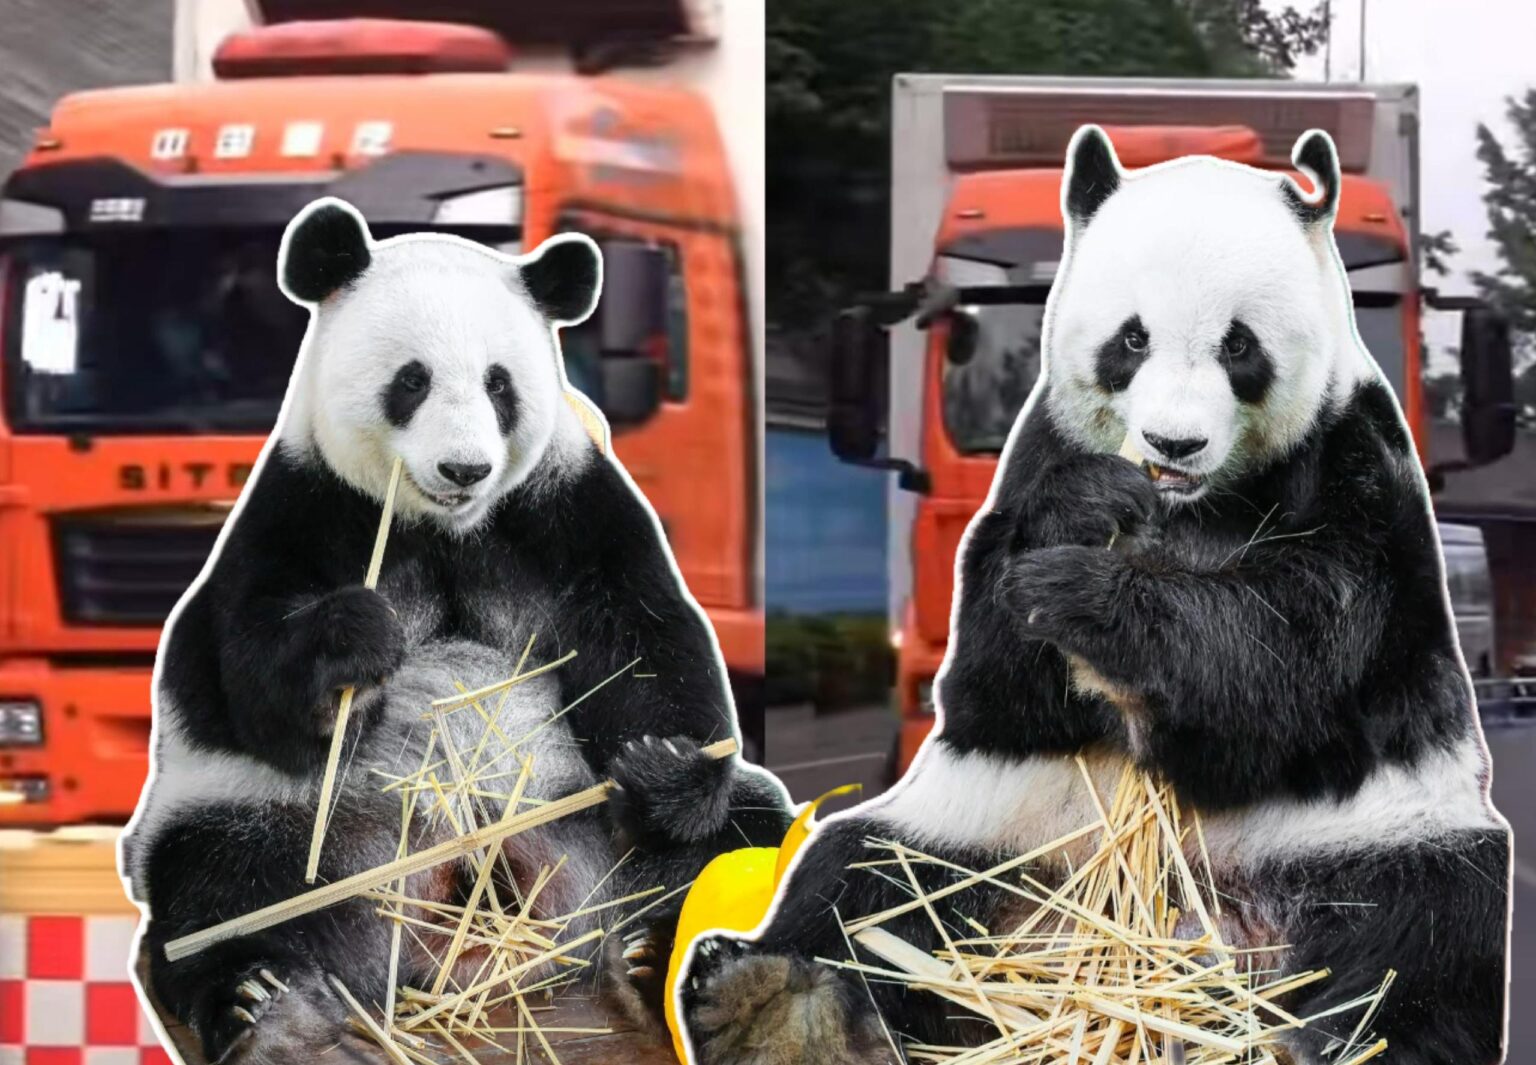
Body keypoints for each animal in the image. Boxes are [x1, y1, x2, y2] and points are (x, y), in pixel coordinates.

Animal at [123, 199, 792, 1063]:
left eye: (499, 384)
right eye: (412, 380)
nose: (465, 468)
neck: (445, 527)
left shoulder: (565, 509)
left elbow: (646, 642)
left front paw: (664, 770)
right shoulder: (301, 509)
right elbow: (247, 677)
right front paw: (354, 640)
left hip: (582, 817)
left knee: (740, 837)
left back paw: (662, 962)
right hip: (304, 830)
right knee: (220, 889)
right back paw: (265, 1007)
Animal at [680, 128, 1511, 1065]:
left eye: (1240, 346)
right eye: (1131, 339)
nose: (1172, 443)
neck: (1191, 508)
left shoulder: (1356, 467)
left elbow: (1295, 651)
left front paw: (1092, 601)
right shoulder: (1041, 454)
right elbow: (997, 678)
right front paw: (1078, 530)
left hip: (1376, 830)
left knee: (1423, 930)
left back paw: (1325, 1035)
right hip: (991, 830)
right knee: (868, 879)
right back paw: (782, 1007)